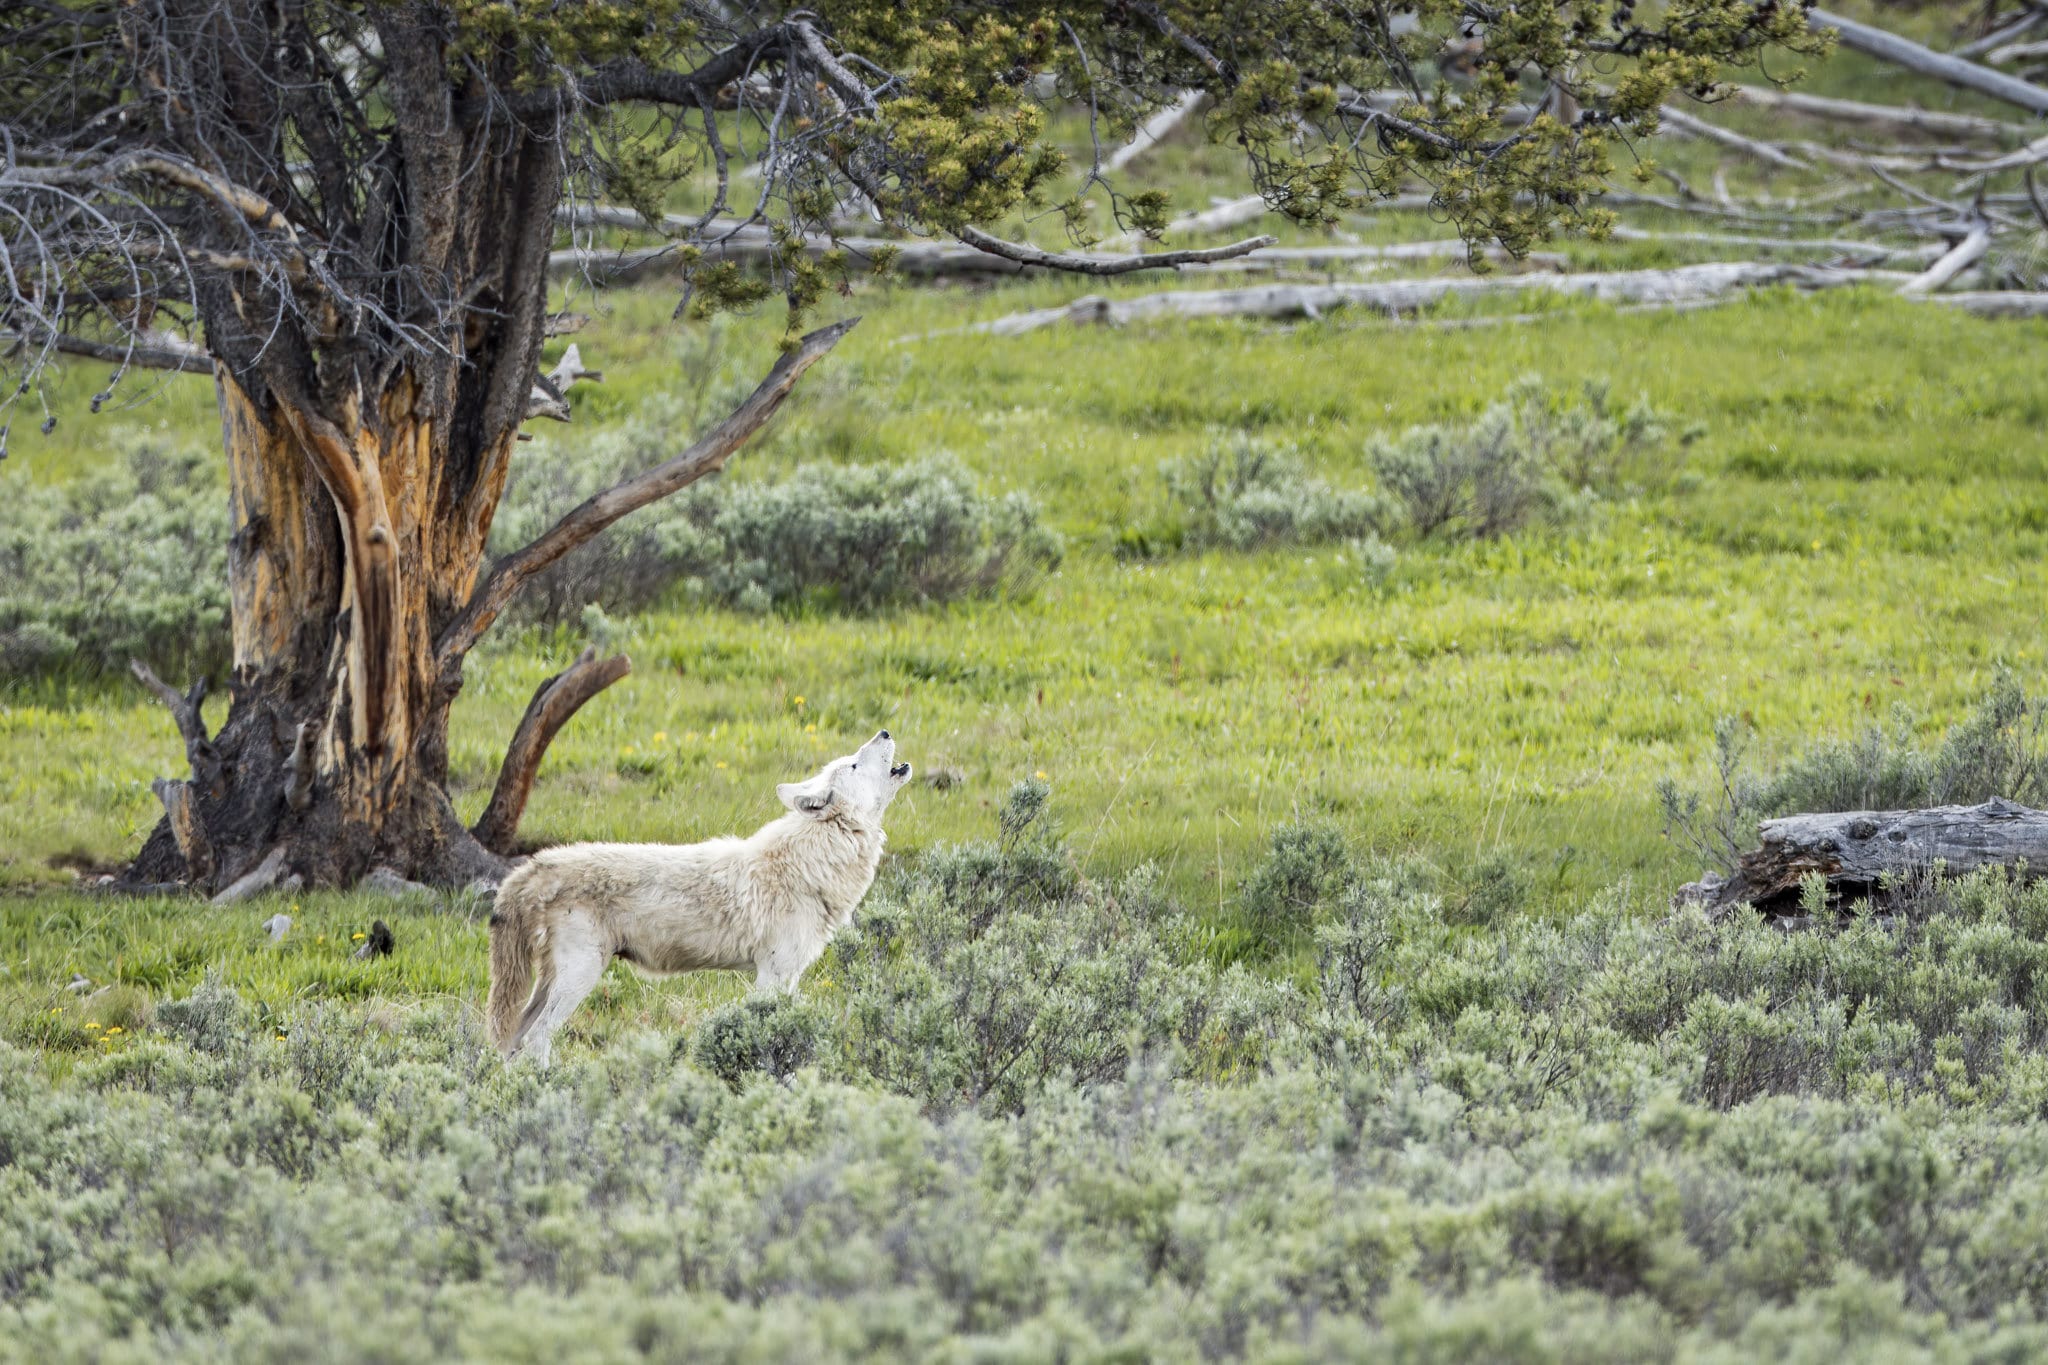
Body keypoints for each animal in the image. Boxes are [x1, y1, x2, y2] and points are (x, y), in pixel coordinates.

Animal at [486, 730, 912, 1065]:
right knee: (536, 1038)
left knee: (514, 1040)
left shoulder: (789, 976)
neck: (808, 863)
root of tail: (535, 865)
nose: (886, 731)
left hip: (554, 980)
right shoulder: (773, 974)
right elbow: (774, 1039)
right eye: (853, 764)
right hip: (581, 975)